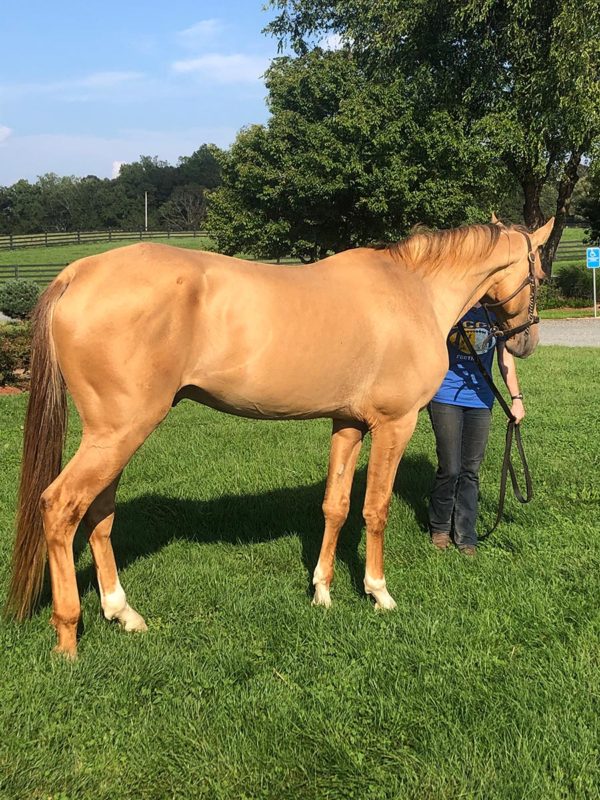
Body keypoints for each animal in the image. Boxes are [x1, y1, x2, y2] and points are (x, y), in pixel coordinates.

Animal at [5, 217, 554, 658]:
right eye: (540, 275)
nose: (526, 341)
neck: (413, 290)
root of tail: (78, 272)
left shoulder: (348, 423)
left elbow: (336, 506)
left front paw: (323, 592)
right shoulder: (394, 423)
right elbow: (374, 510)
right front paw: (378, 593)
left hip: (114, 436)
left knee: (98, 514)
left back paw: (123, 613)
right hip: (119, 432)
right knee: (61, 506)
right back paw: (68, 638)